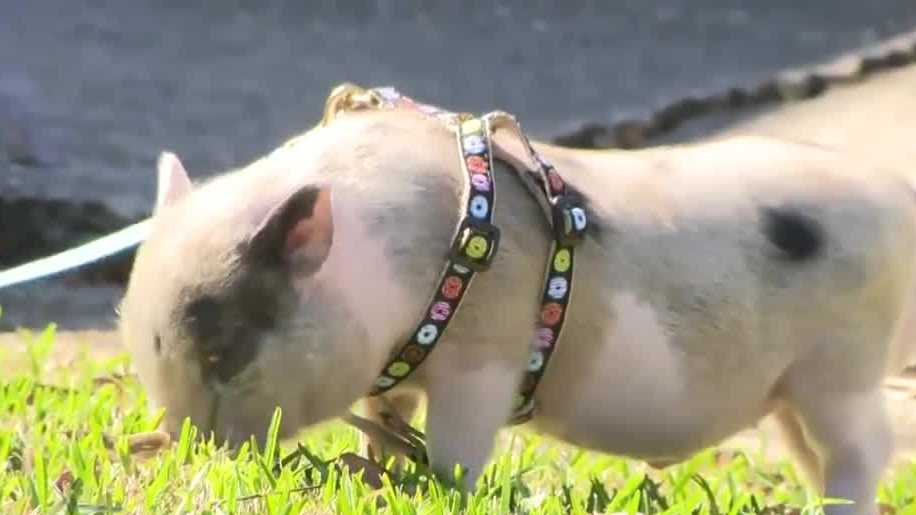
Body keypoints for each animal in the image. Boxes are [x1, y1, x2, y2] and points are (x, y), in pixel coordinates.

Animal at [118, 103, 916, 515]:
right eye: (148, 354)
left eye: (223, 355)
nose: (185, 451)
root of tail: (893, 200)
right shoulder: (397, 366)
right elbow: (386, 420)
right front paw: (377, 472)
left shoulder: (485, 351)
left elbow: (459, 445)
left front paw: (440, 489)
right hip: (791, 388)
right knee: (815, 450)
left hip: (842, 364)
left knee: (865, 446)